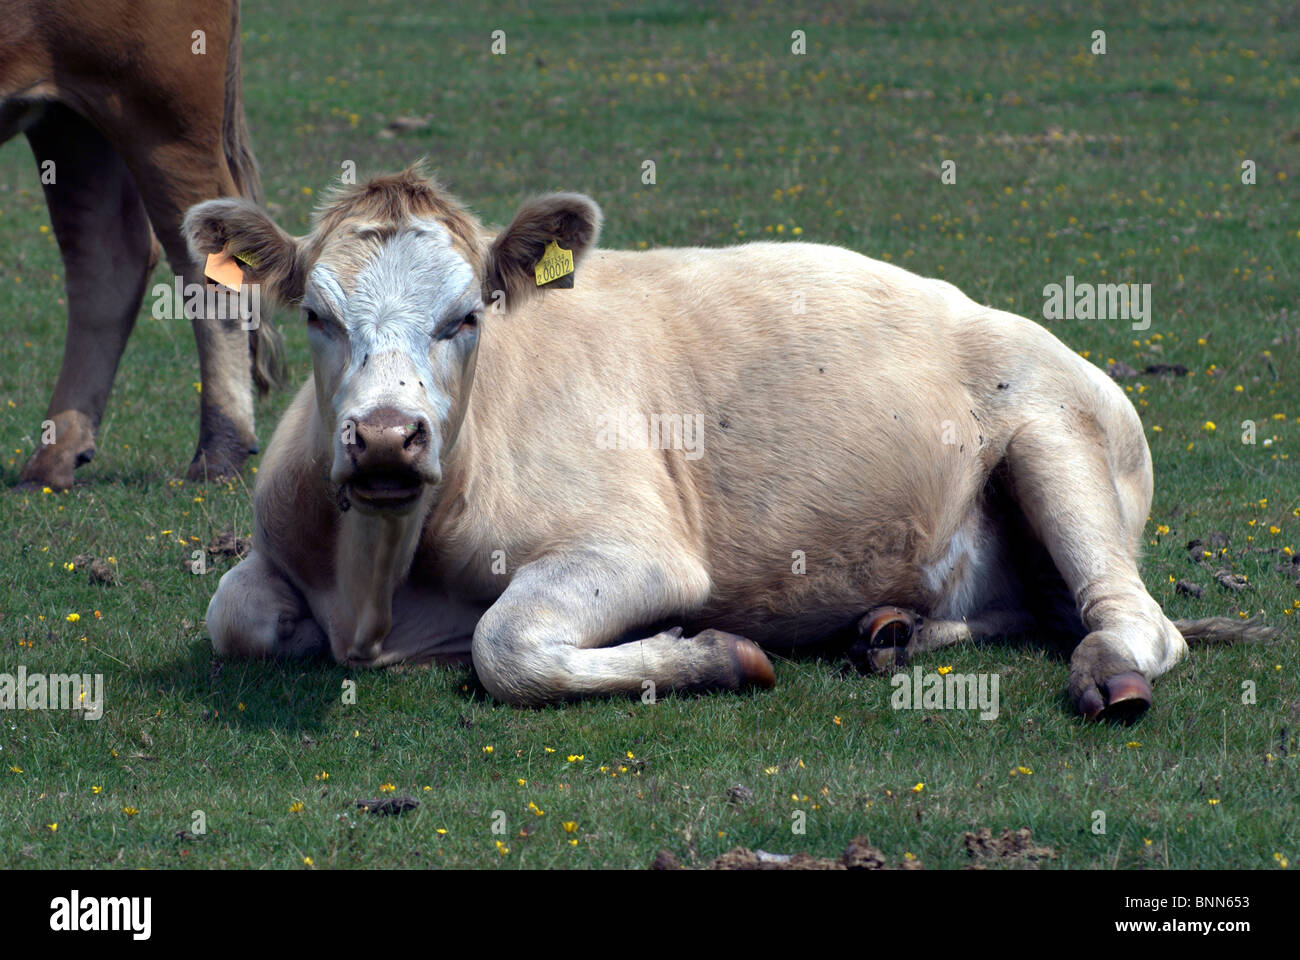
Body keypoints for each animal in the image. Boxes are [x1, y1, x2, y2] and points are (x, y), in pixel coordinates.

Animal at [0, 0, 278, 490]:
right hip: (68, 122)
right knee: (105, 255)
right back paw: (53, 458)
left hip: (160, 118)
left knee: (203, 260)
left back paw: (218, 451)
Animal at [187, 166, 1276, 720]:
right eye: (317, 315)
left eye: (467, 316)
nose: (382, 439)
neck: (377, 588)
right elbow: (233, 615)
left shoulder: (641, 550)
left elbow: (507, 644)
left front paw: (712, 654)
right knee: (1021, 608)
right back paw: (892, 632)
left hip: (1056, 440)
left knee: (1131, 617)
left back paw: (1102, 673)